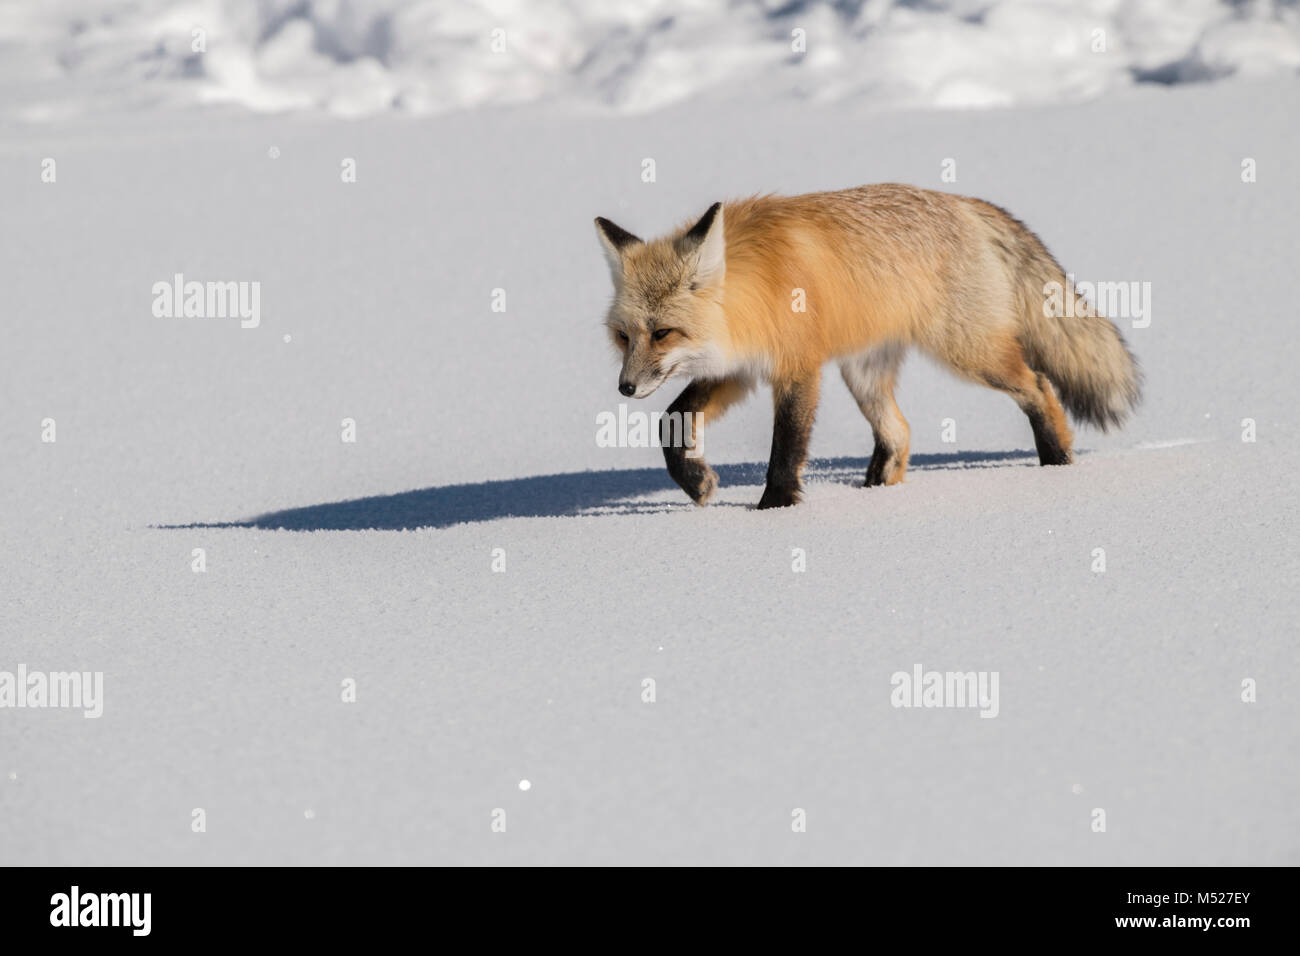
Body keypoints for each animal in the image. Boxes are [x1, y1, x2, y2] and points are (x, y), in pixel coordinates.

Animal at [594, 184, 1141, 509]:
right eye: (625, 336)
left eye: (662, 333)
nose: (624, 388)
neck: (754, 292)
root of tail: (963, 202)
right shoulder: (739, 369)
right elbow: (671, 424)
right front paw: (697, 482)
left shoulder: (798, 368)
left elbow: (786, 447)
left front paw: (775, 509)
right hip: (863, 376)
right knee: (899, 433)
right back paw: (876, 493)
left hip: (969, 353)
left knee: (1039, 385)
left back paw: (1057, 465)